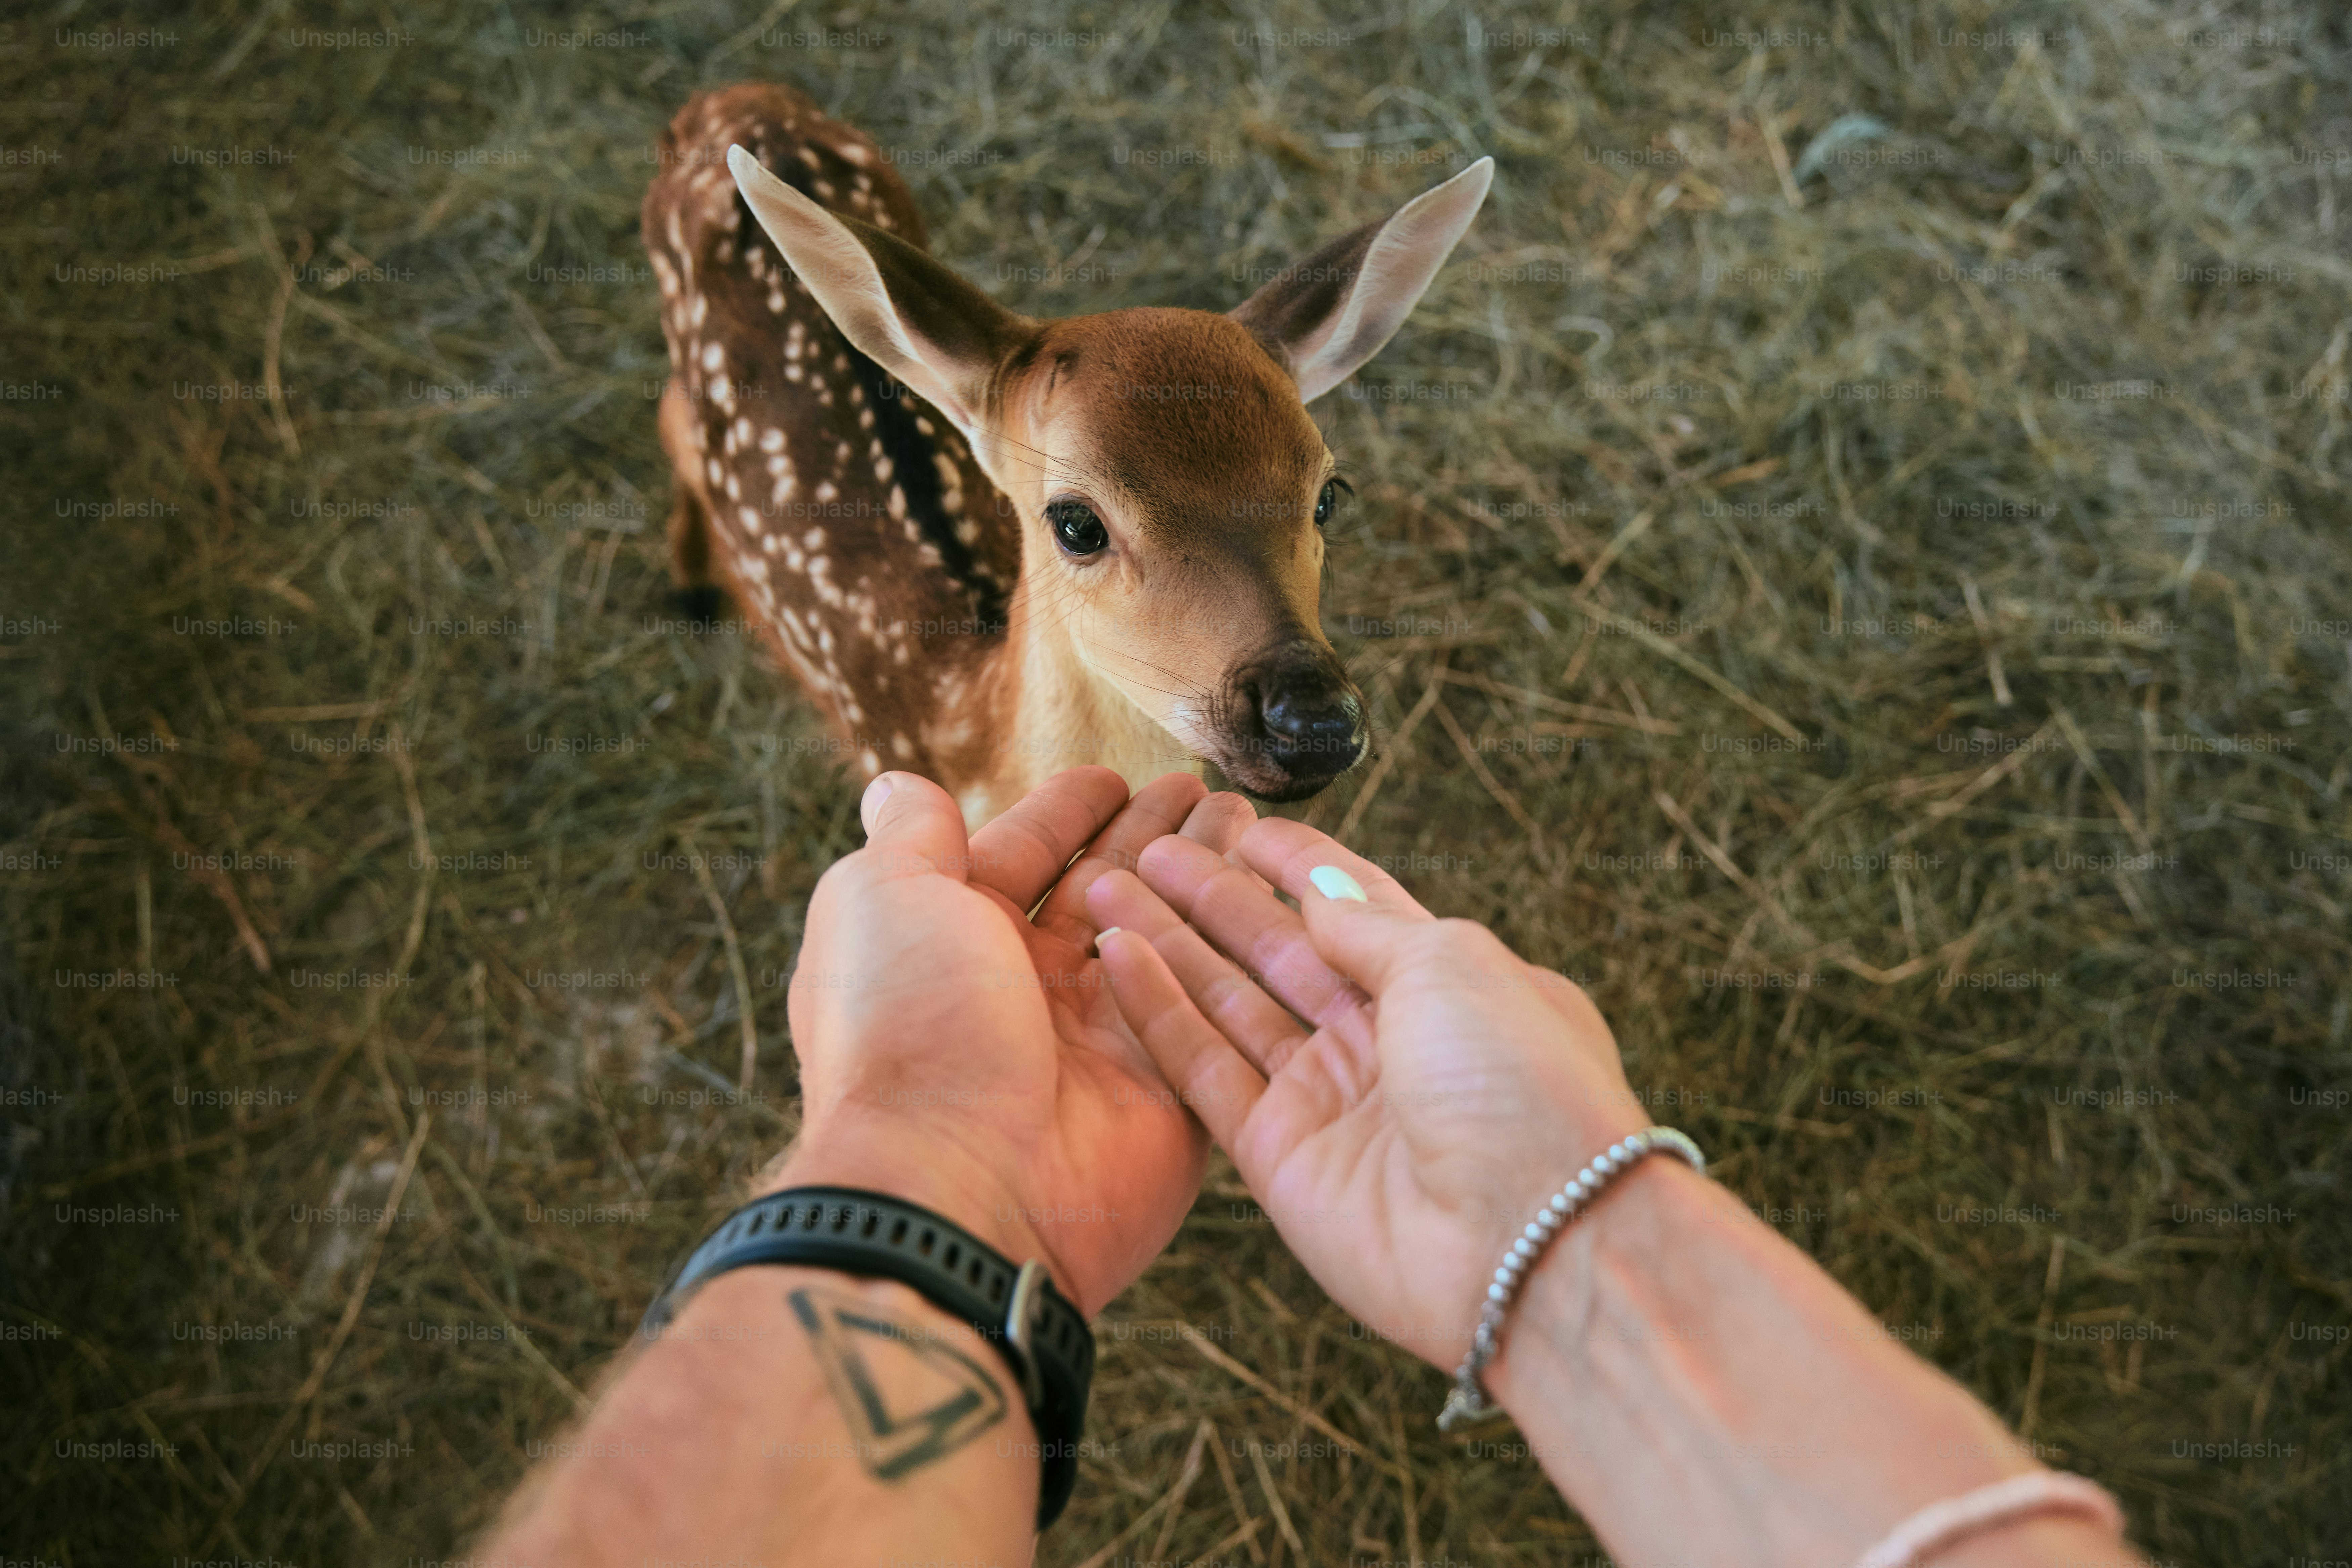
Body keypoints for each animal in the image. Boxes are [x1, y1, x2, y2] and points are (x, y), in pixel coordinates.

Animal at [643, 83, 1492, 827]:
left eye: (1328, 495)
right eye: (1077, 524)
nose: (1313, 723)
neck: (970, 737)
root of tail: (731, 99)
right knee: (671, 419)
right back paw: (693, 586)